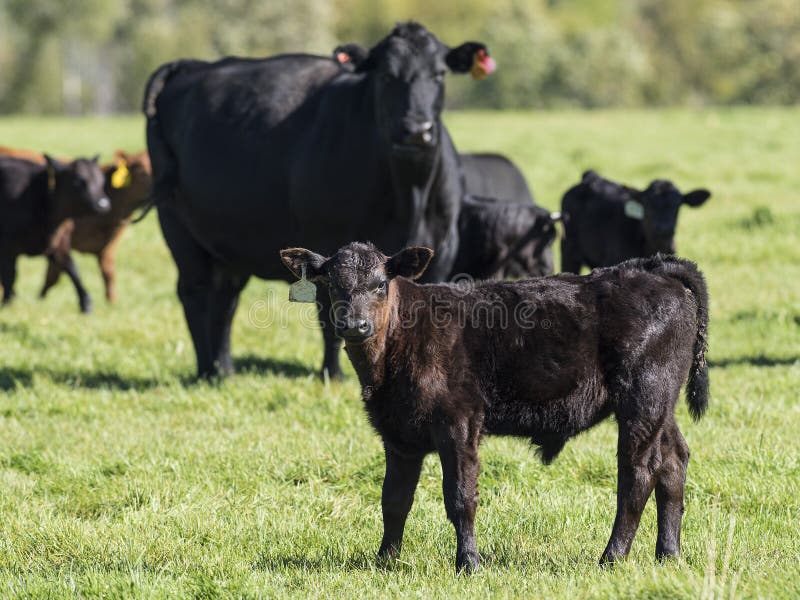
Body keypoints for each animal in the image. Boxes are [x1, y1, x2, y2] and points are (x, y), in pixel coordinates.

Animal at [0, 155, 111, 308]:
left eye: (101, 180)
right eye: (78, 181)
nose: (103, 204)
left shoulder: (58, 242)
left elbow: (71, 267)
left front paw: (86, 303)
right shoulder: (7, 247)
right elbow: (9, 276)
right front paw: (8, 302)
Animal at [144, 22, 496, 378]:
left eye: (439, 74)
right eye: (386, 75)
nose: (416, 130)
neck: (410, 195)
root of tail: (193, 65)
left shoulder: (441, 250)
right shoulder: (325, 244)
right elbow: (330, 316)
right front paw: (333, 375)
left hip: (227, 245)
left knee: (224, 299)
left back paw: (224, 370)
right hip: (177, 226)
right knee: (195, 293)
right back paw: (206, 369)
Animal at [281, 241, 710, 573]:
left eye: (381, 283)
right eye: (332, 285)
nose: (354, 325)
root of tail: (653, 268)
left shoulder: (459, 422)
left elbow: (460, 498)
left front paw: (468, 563)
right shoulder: (397, 433)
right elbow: (394, 499)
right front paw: (385, 561)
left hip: (643, 397)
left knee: (637, 474)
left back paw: (612, 557)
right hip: (661, 406)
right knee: (673, 461)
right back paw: (668, 555)